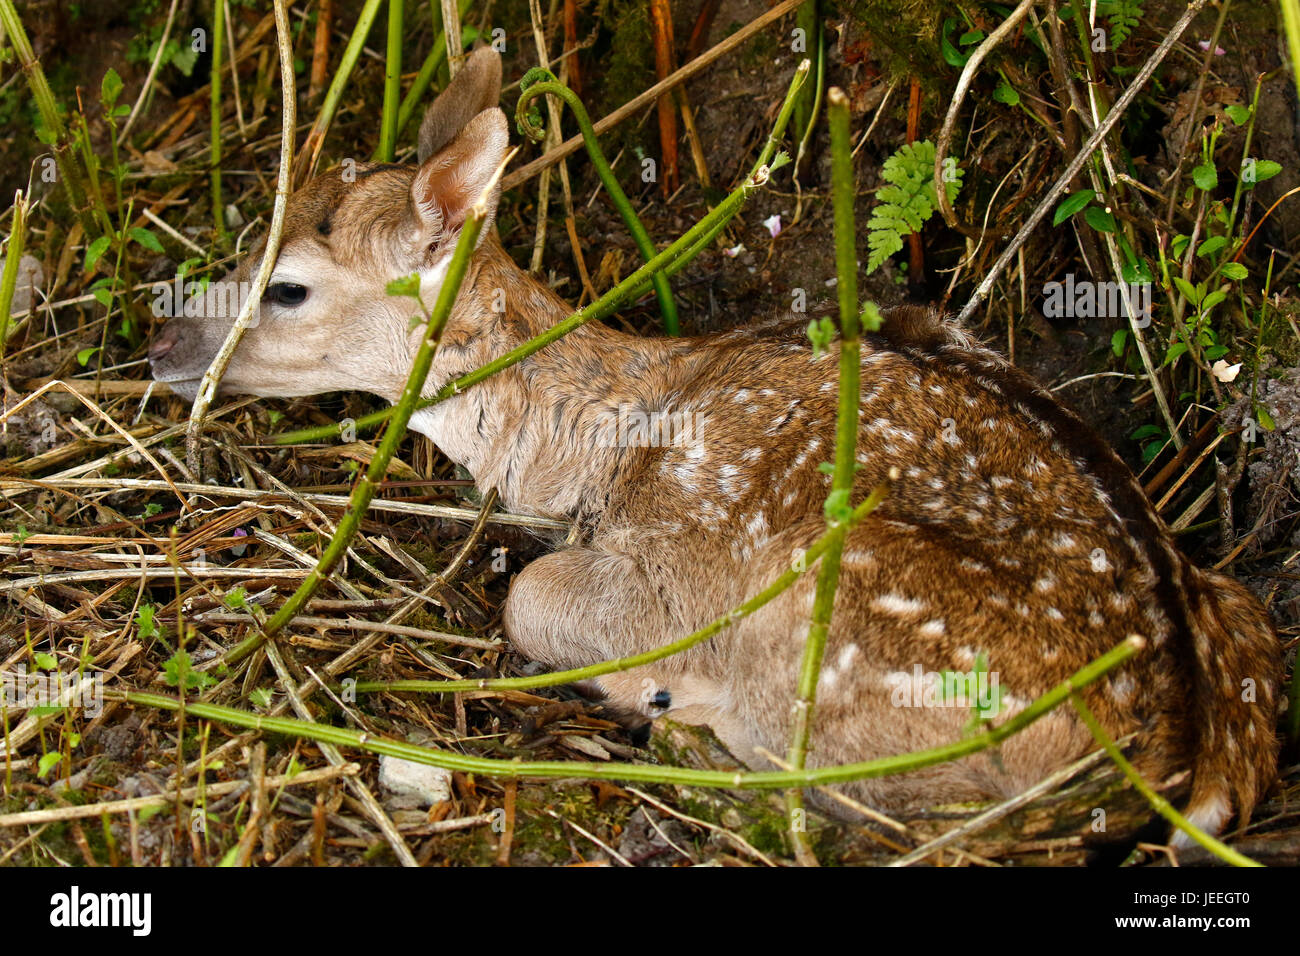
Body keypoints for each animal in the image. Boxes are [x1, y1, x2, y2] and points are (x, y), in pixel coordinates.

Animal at [149, 46, 1281, 846]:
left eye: (288, 285)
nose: (161, 344)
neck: (592, 442)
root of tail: (1181, 761)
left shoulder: (674, 577)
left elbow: (528, 594)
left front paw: (629, 682)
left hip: (826, 627)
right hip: (1237, 609)